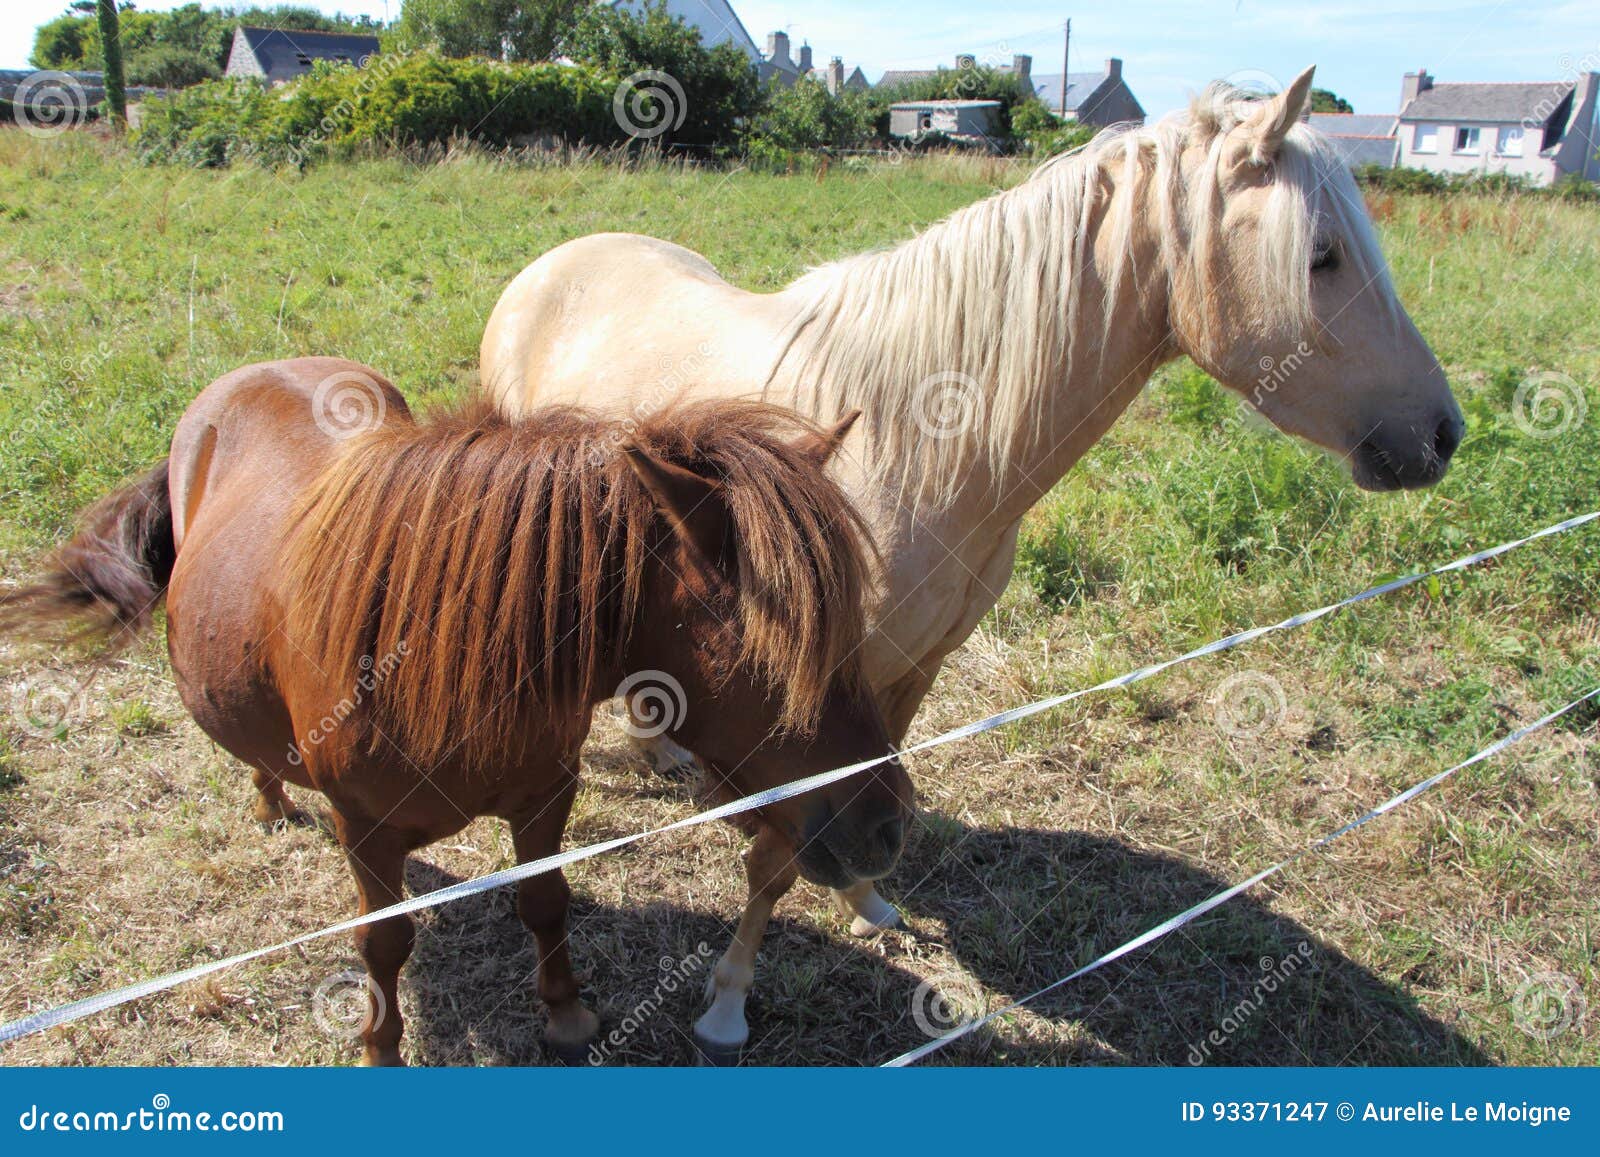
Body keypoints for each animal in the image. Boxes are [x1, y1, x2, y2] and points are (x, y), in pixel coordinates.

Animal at [0, 357, 913, 1065]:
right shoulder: (365, 829)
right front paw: (381, 1047)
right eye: (780, 654)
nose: (887, 828)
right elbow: (383, 942)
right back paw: (269, 800)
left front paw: (566, 1015)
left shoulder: (547, 796)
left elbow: (545, 900)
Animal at [478, 68, 1465, 936]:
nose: (1443, 433)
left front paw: (868, 902)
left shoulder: (912, 670)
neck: (921, 438)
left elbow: (875, 777)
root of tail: (550, 265)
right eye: (1321, 257)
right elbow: (783, 853)